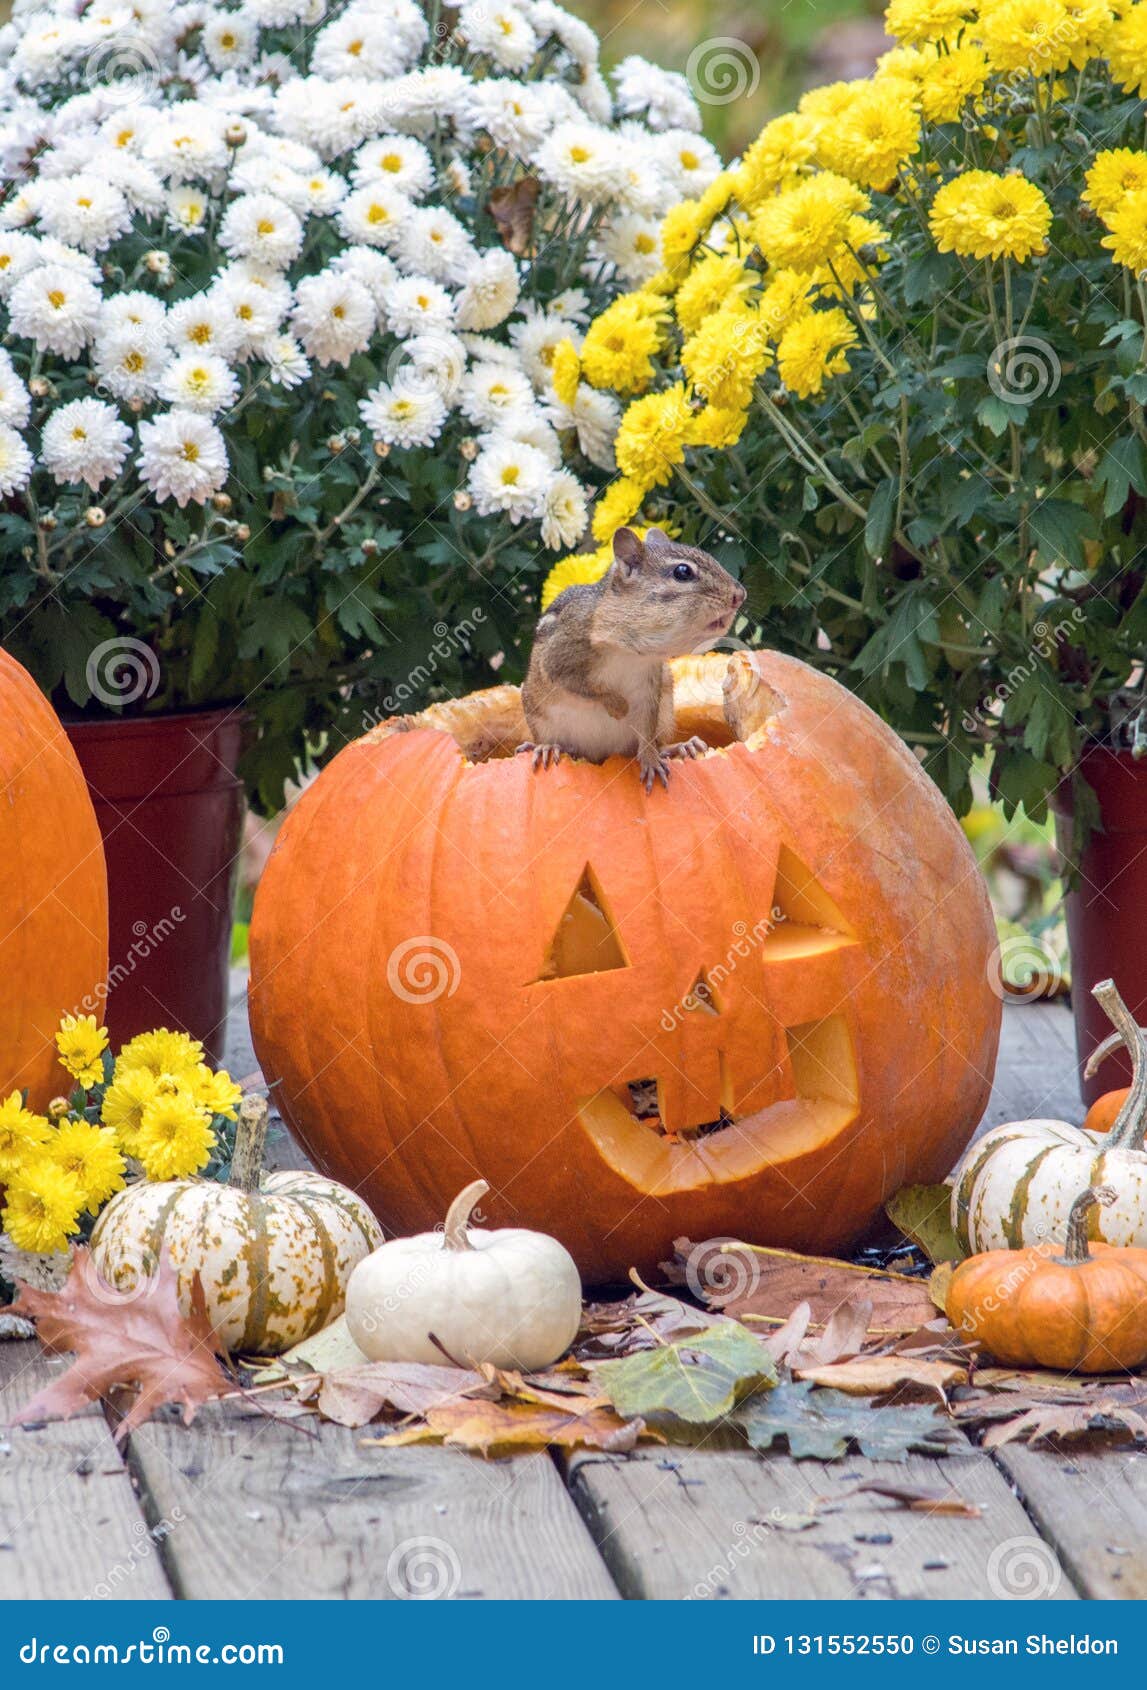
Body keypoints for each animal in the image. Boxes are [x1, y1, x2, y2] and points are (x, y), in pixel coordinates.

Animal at [518, 526, 747, 792]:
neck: (630, 652)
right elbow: (579, 685)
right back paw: (547, 747)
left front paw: (651, 760)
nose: (740, 595)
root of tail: (600, 756)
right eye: (683, 572)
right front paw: (618, 705)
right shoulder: (560, 656)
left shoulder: (649, 687)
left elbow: (646, 733)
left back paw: (677, 747)